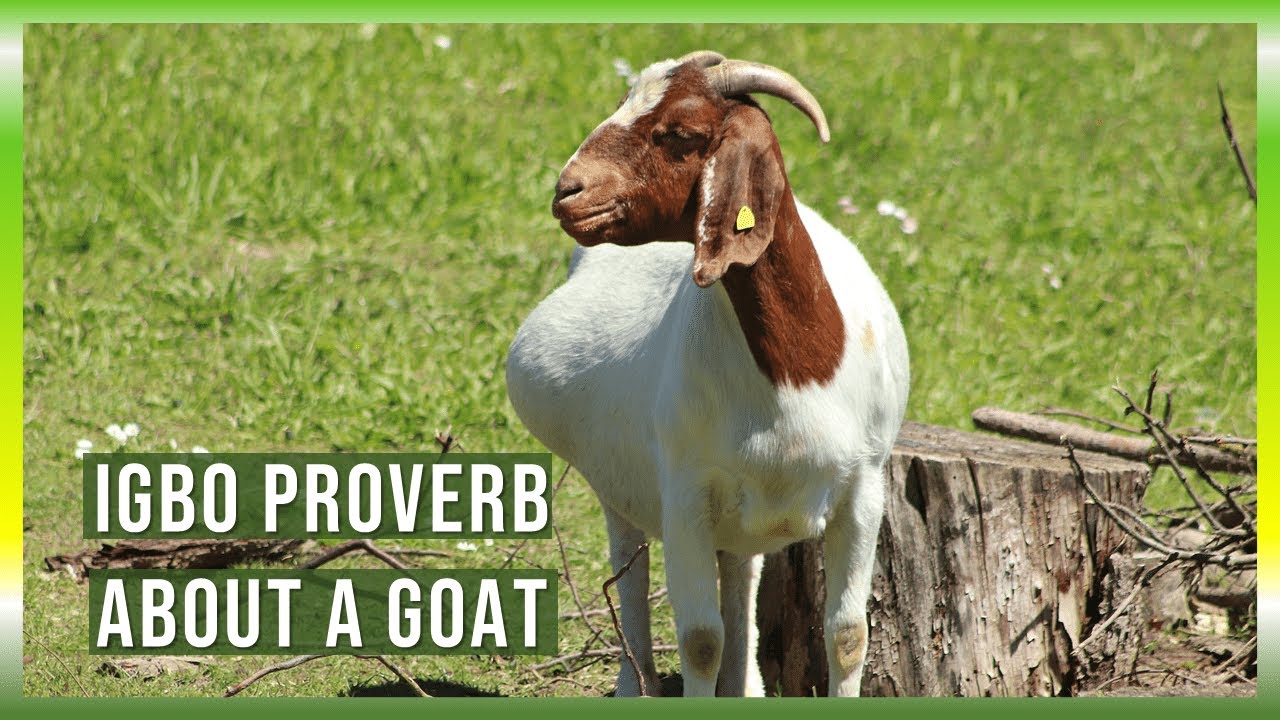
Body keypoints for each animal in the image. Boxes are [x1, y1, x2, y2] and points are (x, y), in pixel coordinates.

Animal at [505, 51, 909, 697]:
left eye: (680, 132)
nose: (568, 190)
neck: (799, 374)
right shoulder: (685, 492)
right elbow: (699, 641)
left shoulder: (864, 487)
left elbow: (848, 635)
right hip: (617, 483)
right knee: (631, 572)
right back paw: (636, 684)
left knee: (740, 574)